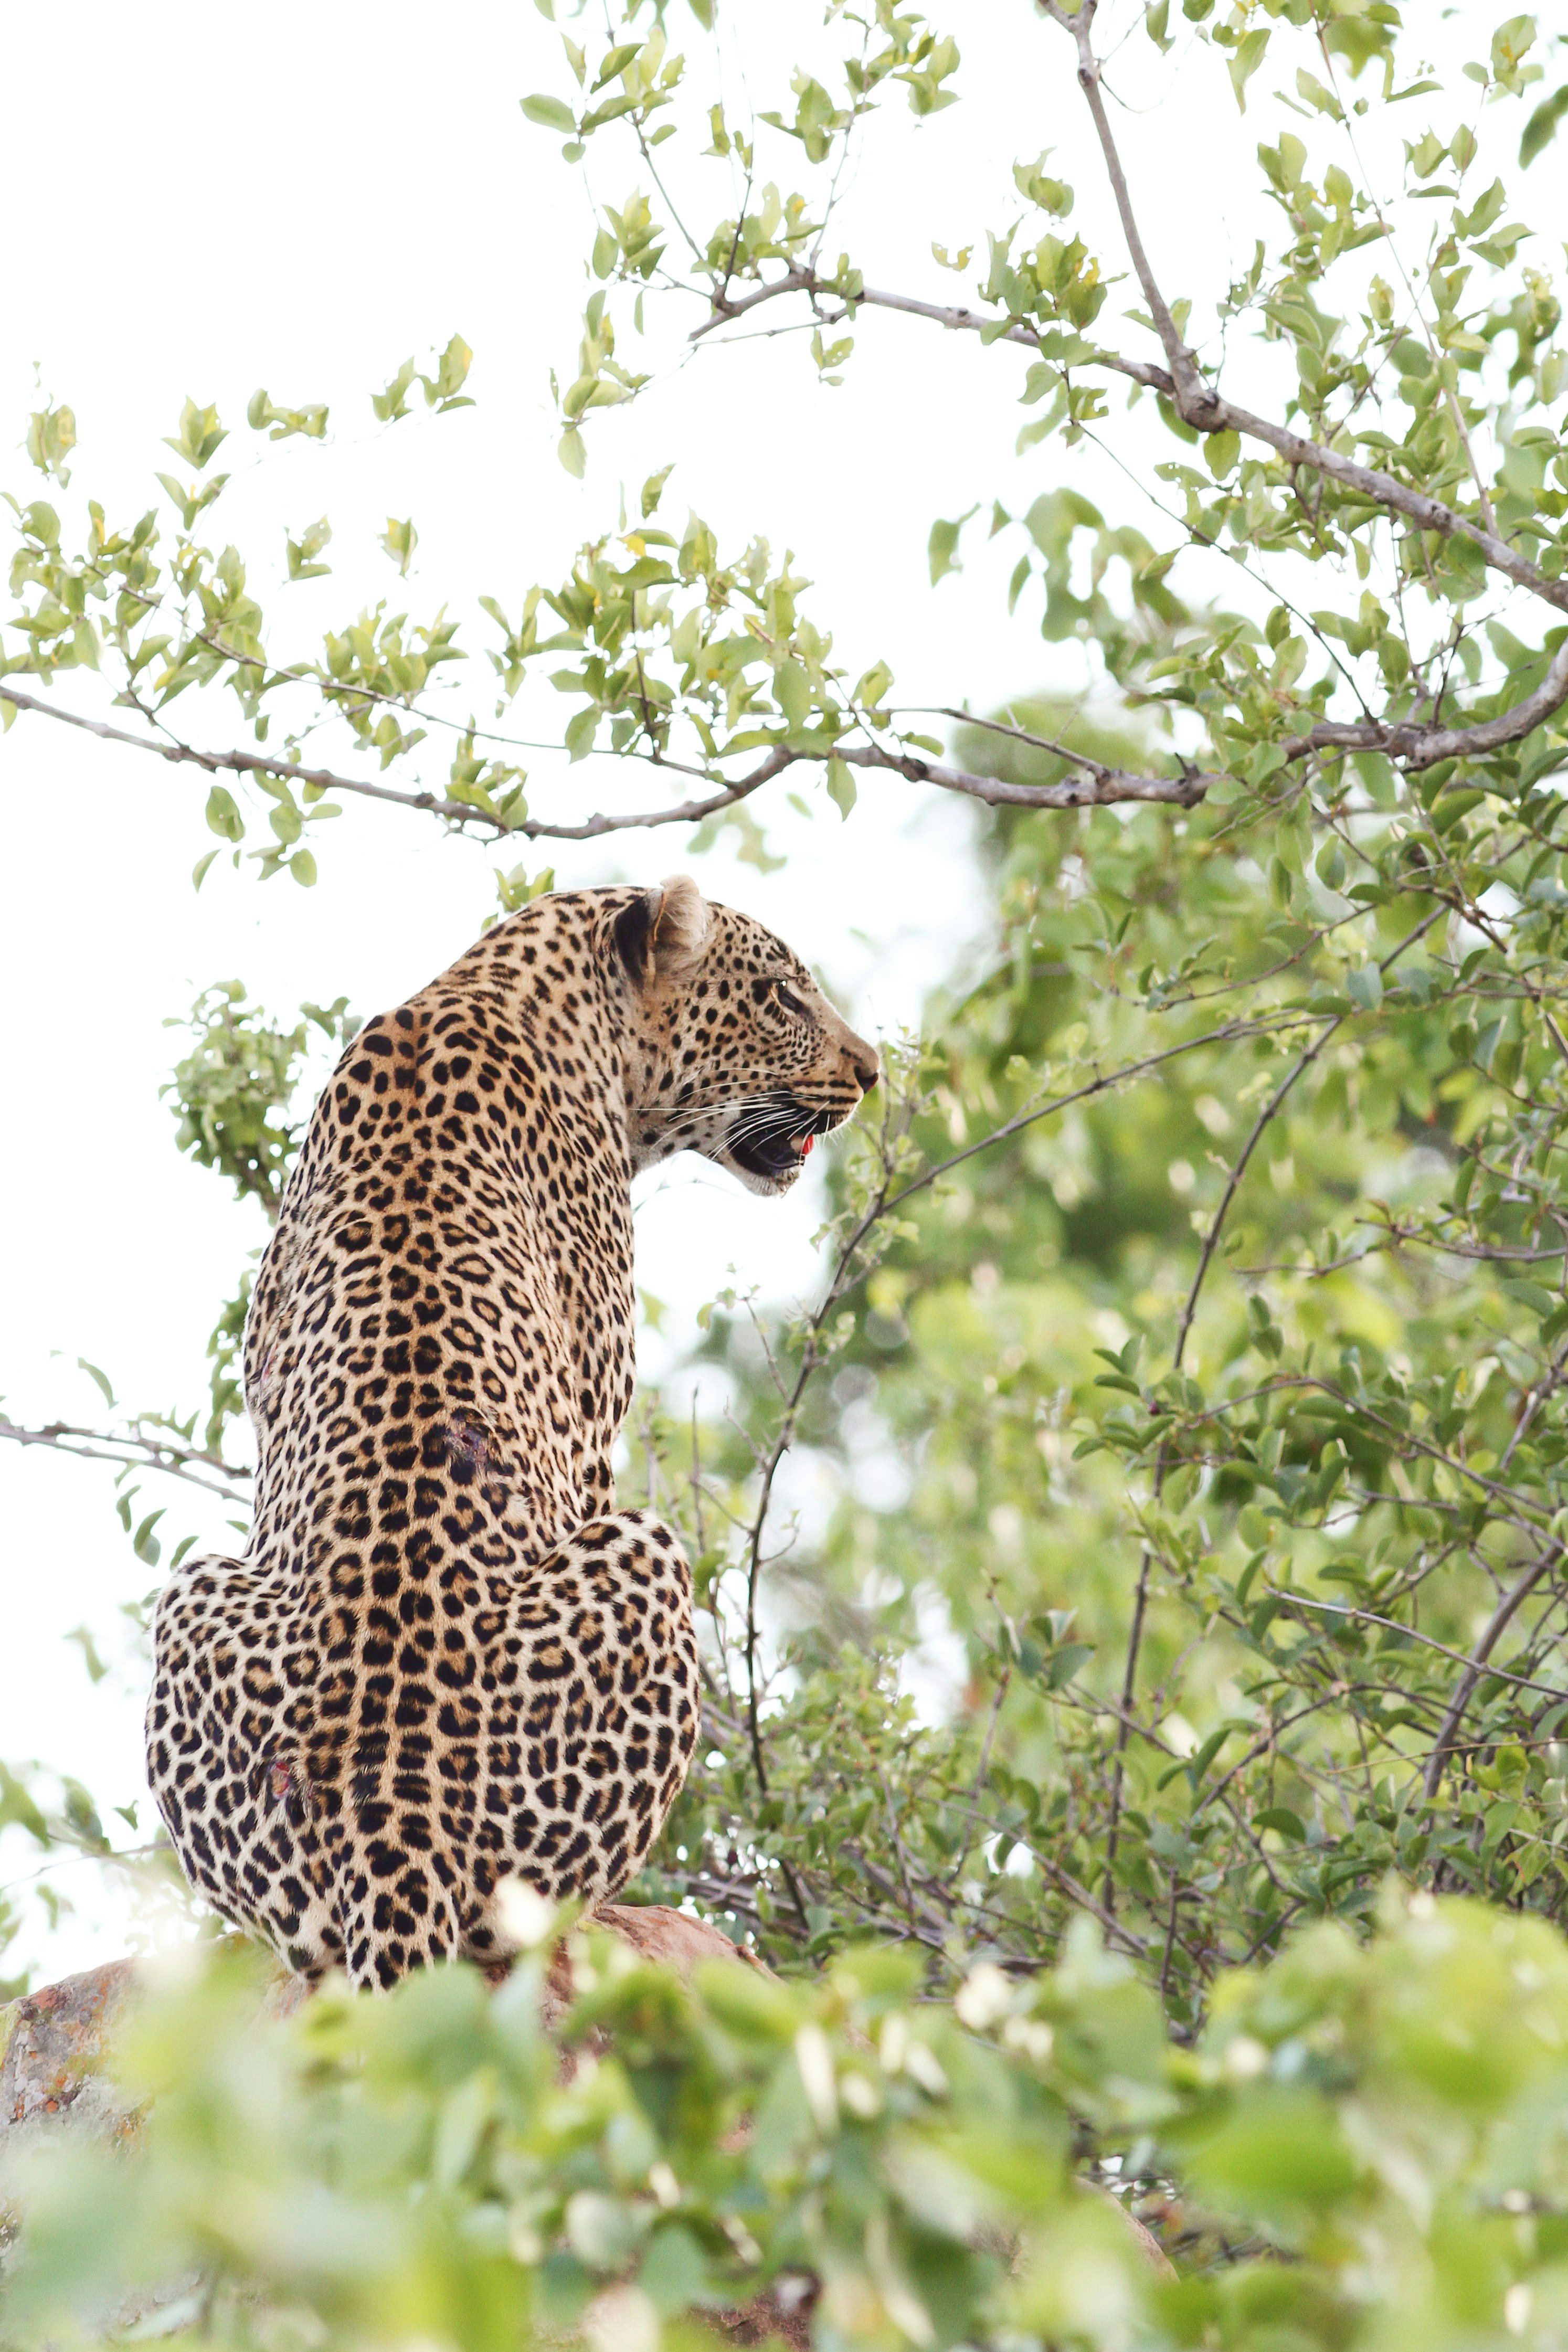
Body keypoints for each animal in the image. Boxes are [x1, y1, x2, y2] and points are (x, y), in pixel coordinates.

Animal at [144, 876, 878, 1990]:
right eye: (783, 997)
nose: (872, 1072)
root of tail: (393, 1806)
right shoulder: (591, 1423)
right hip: (645, 1550)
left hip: (193, 1591)